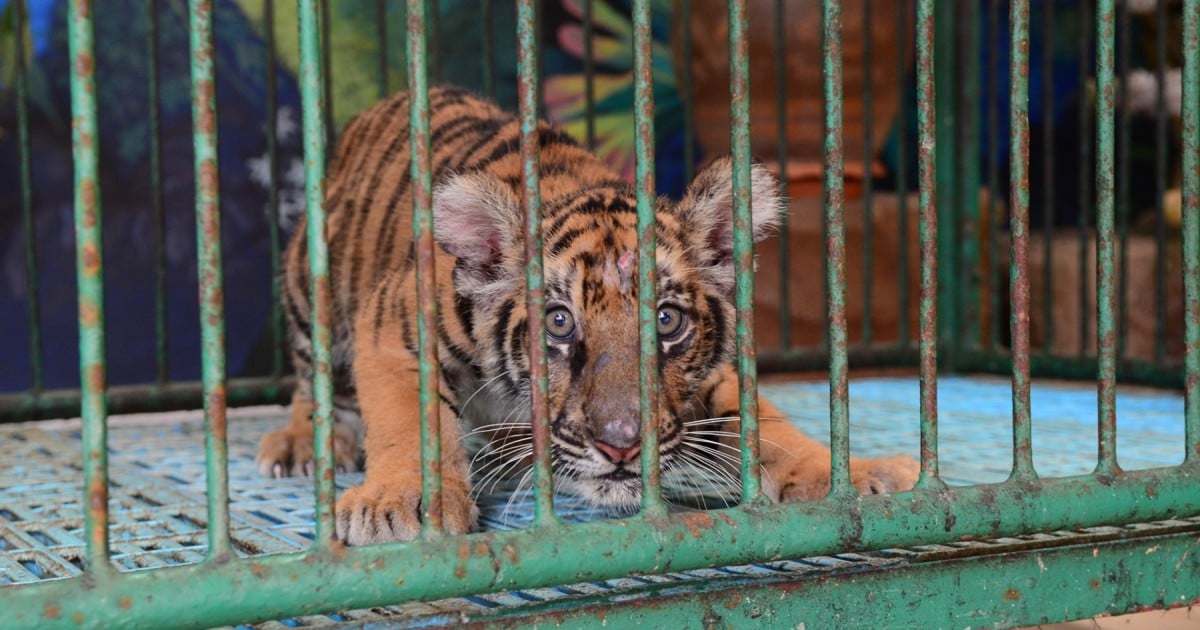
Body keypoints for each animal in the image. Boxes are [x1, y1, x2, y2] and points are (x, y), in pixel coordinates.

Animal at [255, 86, 920, 546]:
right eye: (558, 322)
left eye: (666, 321)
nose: (621, 447)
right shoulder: (394, 324)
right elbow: (409, 419)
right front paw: (399, 501)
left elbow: (768, 424)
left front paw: (855, 474)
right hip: (307, 288)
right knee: (313, 379)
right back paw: (300, 443)